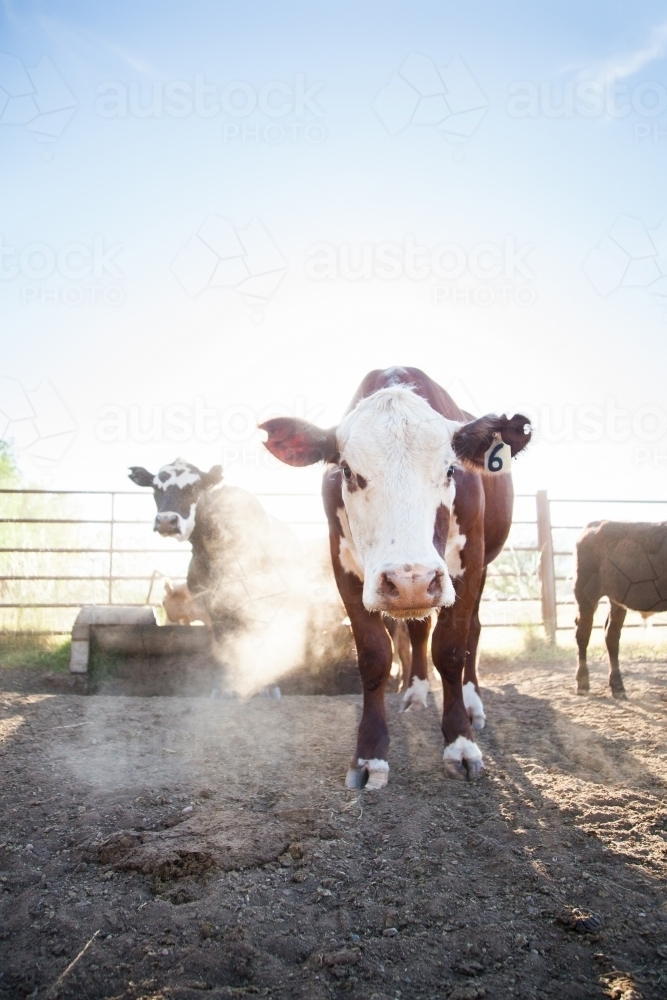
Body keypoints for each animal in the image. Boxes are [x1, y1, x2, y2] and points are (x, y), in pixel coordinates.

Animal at [260, 367, 531, 787]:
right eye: (348, 472)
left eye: (450, 470)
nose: (411, 581)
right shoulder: (344, 565)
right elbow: (375, 655)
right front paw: (370, 754)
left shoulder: (469, 561)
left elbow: (451, 649)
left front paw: (460, 744)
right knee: (418, 631)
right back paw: (416, 694)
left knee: (473, 630)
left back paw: (472, 704)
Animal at [574, 520, 667, 698]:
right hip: (586, 594)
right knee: (583, 634)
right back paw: (583, 682)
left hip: (616, 599)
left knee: (611, 635)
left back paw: (617, 686)